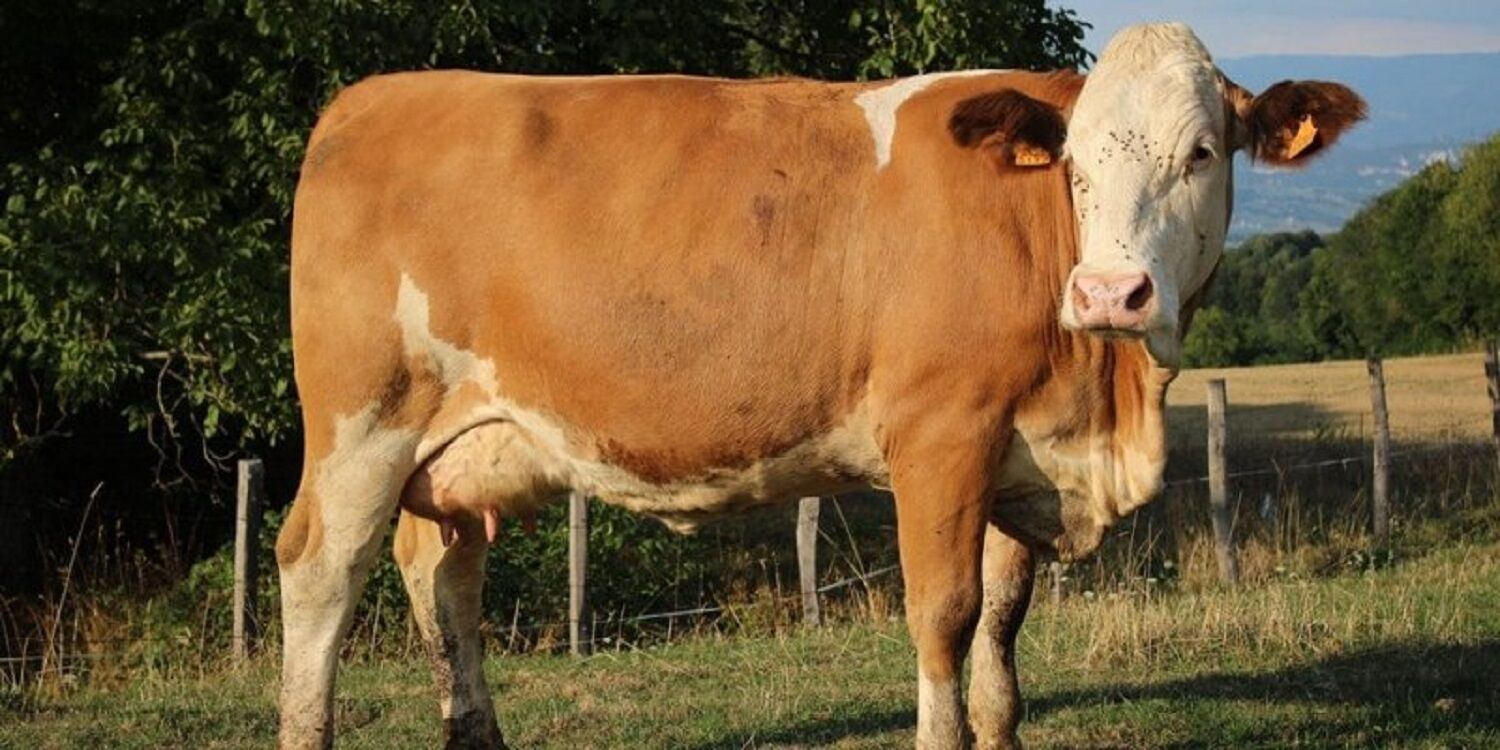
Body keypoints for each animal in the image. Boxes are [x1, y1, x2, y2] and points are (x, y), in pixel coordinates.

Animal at [275, 22, 1363, 750]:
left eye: (1203, 153)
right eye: (1076, 166)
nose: (1110, 293)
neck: (1106, 405)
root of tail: (371, 98)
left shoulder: (1017, 457)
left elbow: (1002, 637)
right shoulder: (939, 436)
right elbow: (945, 617)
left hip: (463, 445)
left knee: (440, 574)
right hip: (361, 426)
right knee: (321, 570)